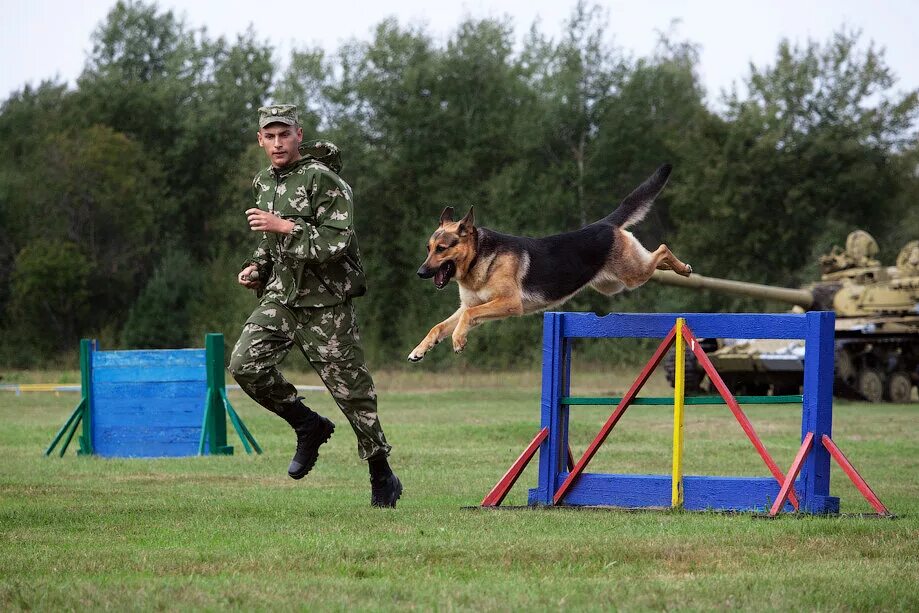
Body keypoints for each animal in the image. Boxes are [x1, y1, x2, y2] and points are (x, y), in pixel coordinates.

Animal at [408, 165, 688, 360]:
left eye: (442, 249)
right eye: (428, 248)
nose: (420, 272)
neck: (478, 258)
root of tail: (604, 224)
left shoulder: (509, 303)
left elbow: (467, 317)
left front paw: (458, 340)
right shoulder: (472, 305)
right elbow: (439, 326)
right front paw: (420, 350)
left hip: (632, 274)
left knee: (662, 250)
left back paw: (684, 268)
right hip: (613, 284)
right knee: (655, 260)